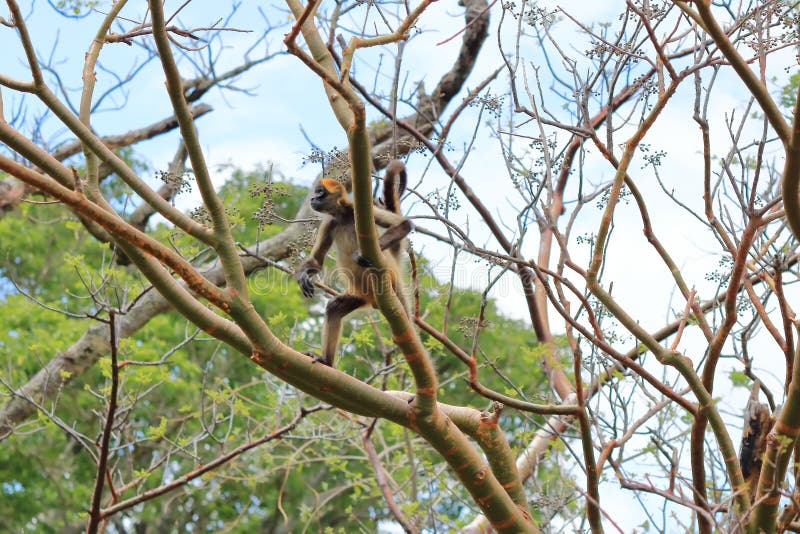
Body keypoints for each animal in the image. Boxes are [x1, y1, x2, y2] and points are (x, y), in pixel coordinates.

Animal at [295, 160, 411, 367]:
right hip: (360, 294)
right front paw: (302, 275)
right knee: (334, 308)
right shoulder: (329, 222)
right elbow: (316, 261)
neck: (342, 215)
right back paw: (326, 361)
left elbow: (404, 225)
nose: (312, 199)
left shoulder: (356, 208)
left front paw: (359, 255)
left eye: (320, 192)